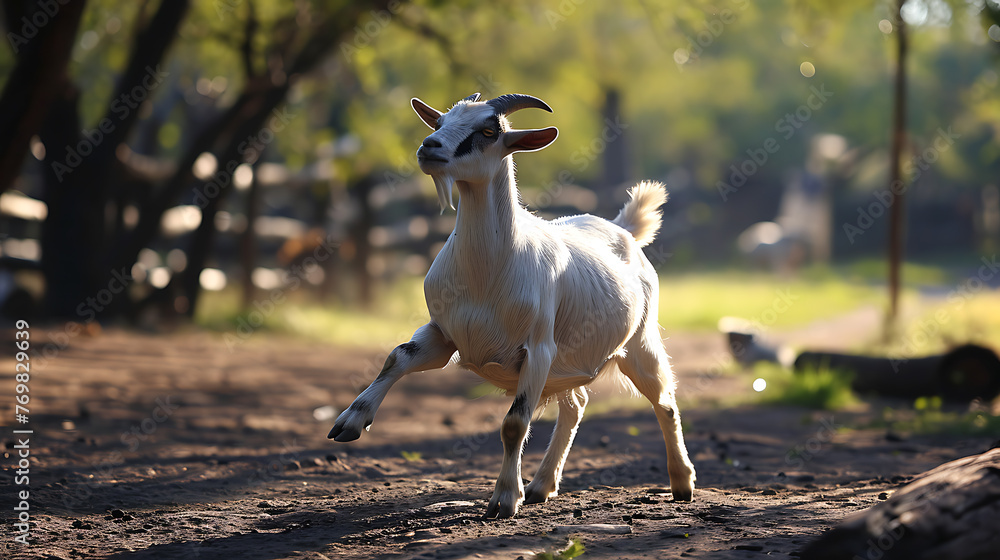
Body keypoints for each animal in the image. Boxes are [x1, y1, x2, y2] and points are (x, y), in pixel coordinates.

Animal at [328, 92, 696, 519]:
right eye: (440, 122)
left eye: (490, 131)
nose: (429, 146)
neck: (487, 271)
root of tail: (622, 227)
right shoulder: (445, 333)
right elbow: (396, 357)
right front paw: (350, 422)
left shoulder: (537, 349)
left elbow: (514, 424)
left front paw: (504, 498)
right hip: (567, 361)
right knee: (577, 404)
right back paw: (541, 486)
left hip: (638, 343)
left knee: (664, 402)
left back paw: (682, 483)